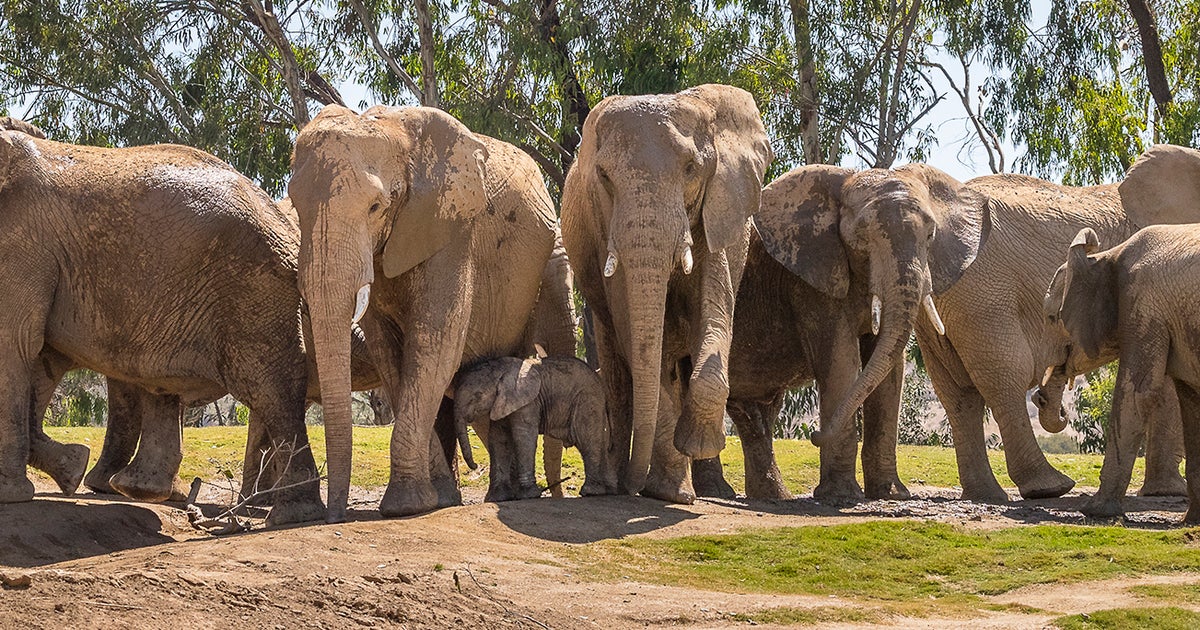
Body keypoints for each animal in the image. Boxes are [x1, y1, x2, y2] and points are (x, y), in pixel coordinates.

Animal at [0, 127, 324, 525]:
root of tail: (282, 219)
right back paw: (138, 488)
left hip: (251, 286)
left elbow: (15, 343)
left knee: (268, 386)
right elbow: (40, 358)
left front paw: (14, 495)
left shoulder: (23, 246)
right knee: (159, 380)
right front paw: (70, 468)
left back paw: (293, 515)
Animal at [291, 104, 567, 522]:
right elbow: (390, 355)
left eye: (376, 207)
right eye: (295, 206)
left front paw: (406, 506)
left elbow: (435, 343)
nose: (335, 516)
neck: (391, 132)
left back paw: (515, 497)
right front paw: (436, 498)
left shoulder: (452, 229)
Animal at [453, 355, 619, 501]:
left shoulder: (528, 402)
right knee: (602, 445)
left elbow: (524, 436)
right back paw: (609, 490)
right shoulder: (501, 403)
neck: (503, 369)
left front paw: (528, 495)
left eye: (478, 395)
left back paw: (590, 492)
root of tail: (602, 387)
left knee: (587, 440)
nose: (475, 466)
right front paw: (496, 498)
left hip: (587, 401)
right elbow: (499, 440)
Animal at [561, 83, 773, 503]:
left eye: (691, 169)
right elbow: (636, 339)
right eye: (604, 176)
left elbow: (715, 317)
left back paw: (707, 487)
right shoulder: (605, 228)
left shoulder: (713, 215)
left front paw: (692, 449)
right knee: (617, 370)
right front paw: (668, 493)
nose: (633, 486)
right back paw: (610, 486)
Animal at [1046, 225, 1200, 522]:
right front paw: (1192, 521)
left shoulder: (1143, 304)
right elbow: (1191, 403)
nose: (1061, 411)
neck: (1109, 256)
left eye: (1050, 318)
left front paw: (1095, 512)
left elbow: (1136, 396)